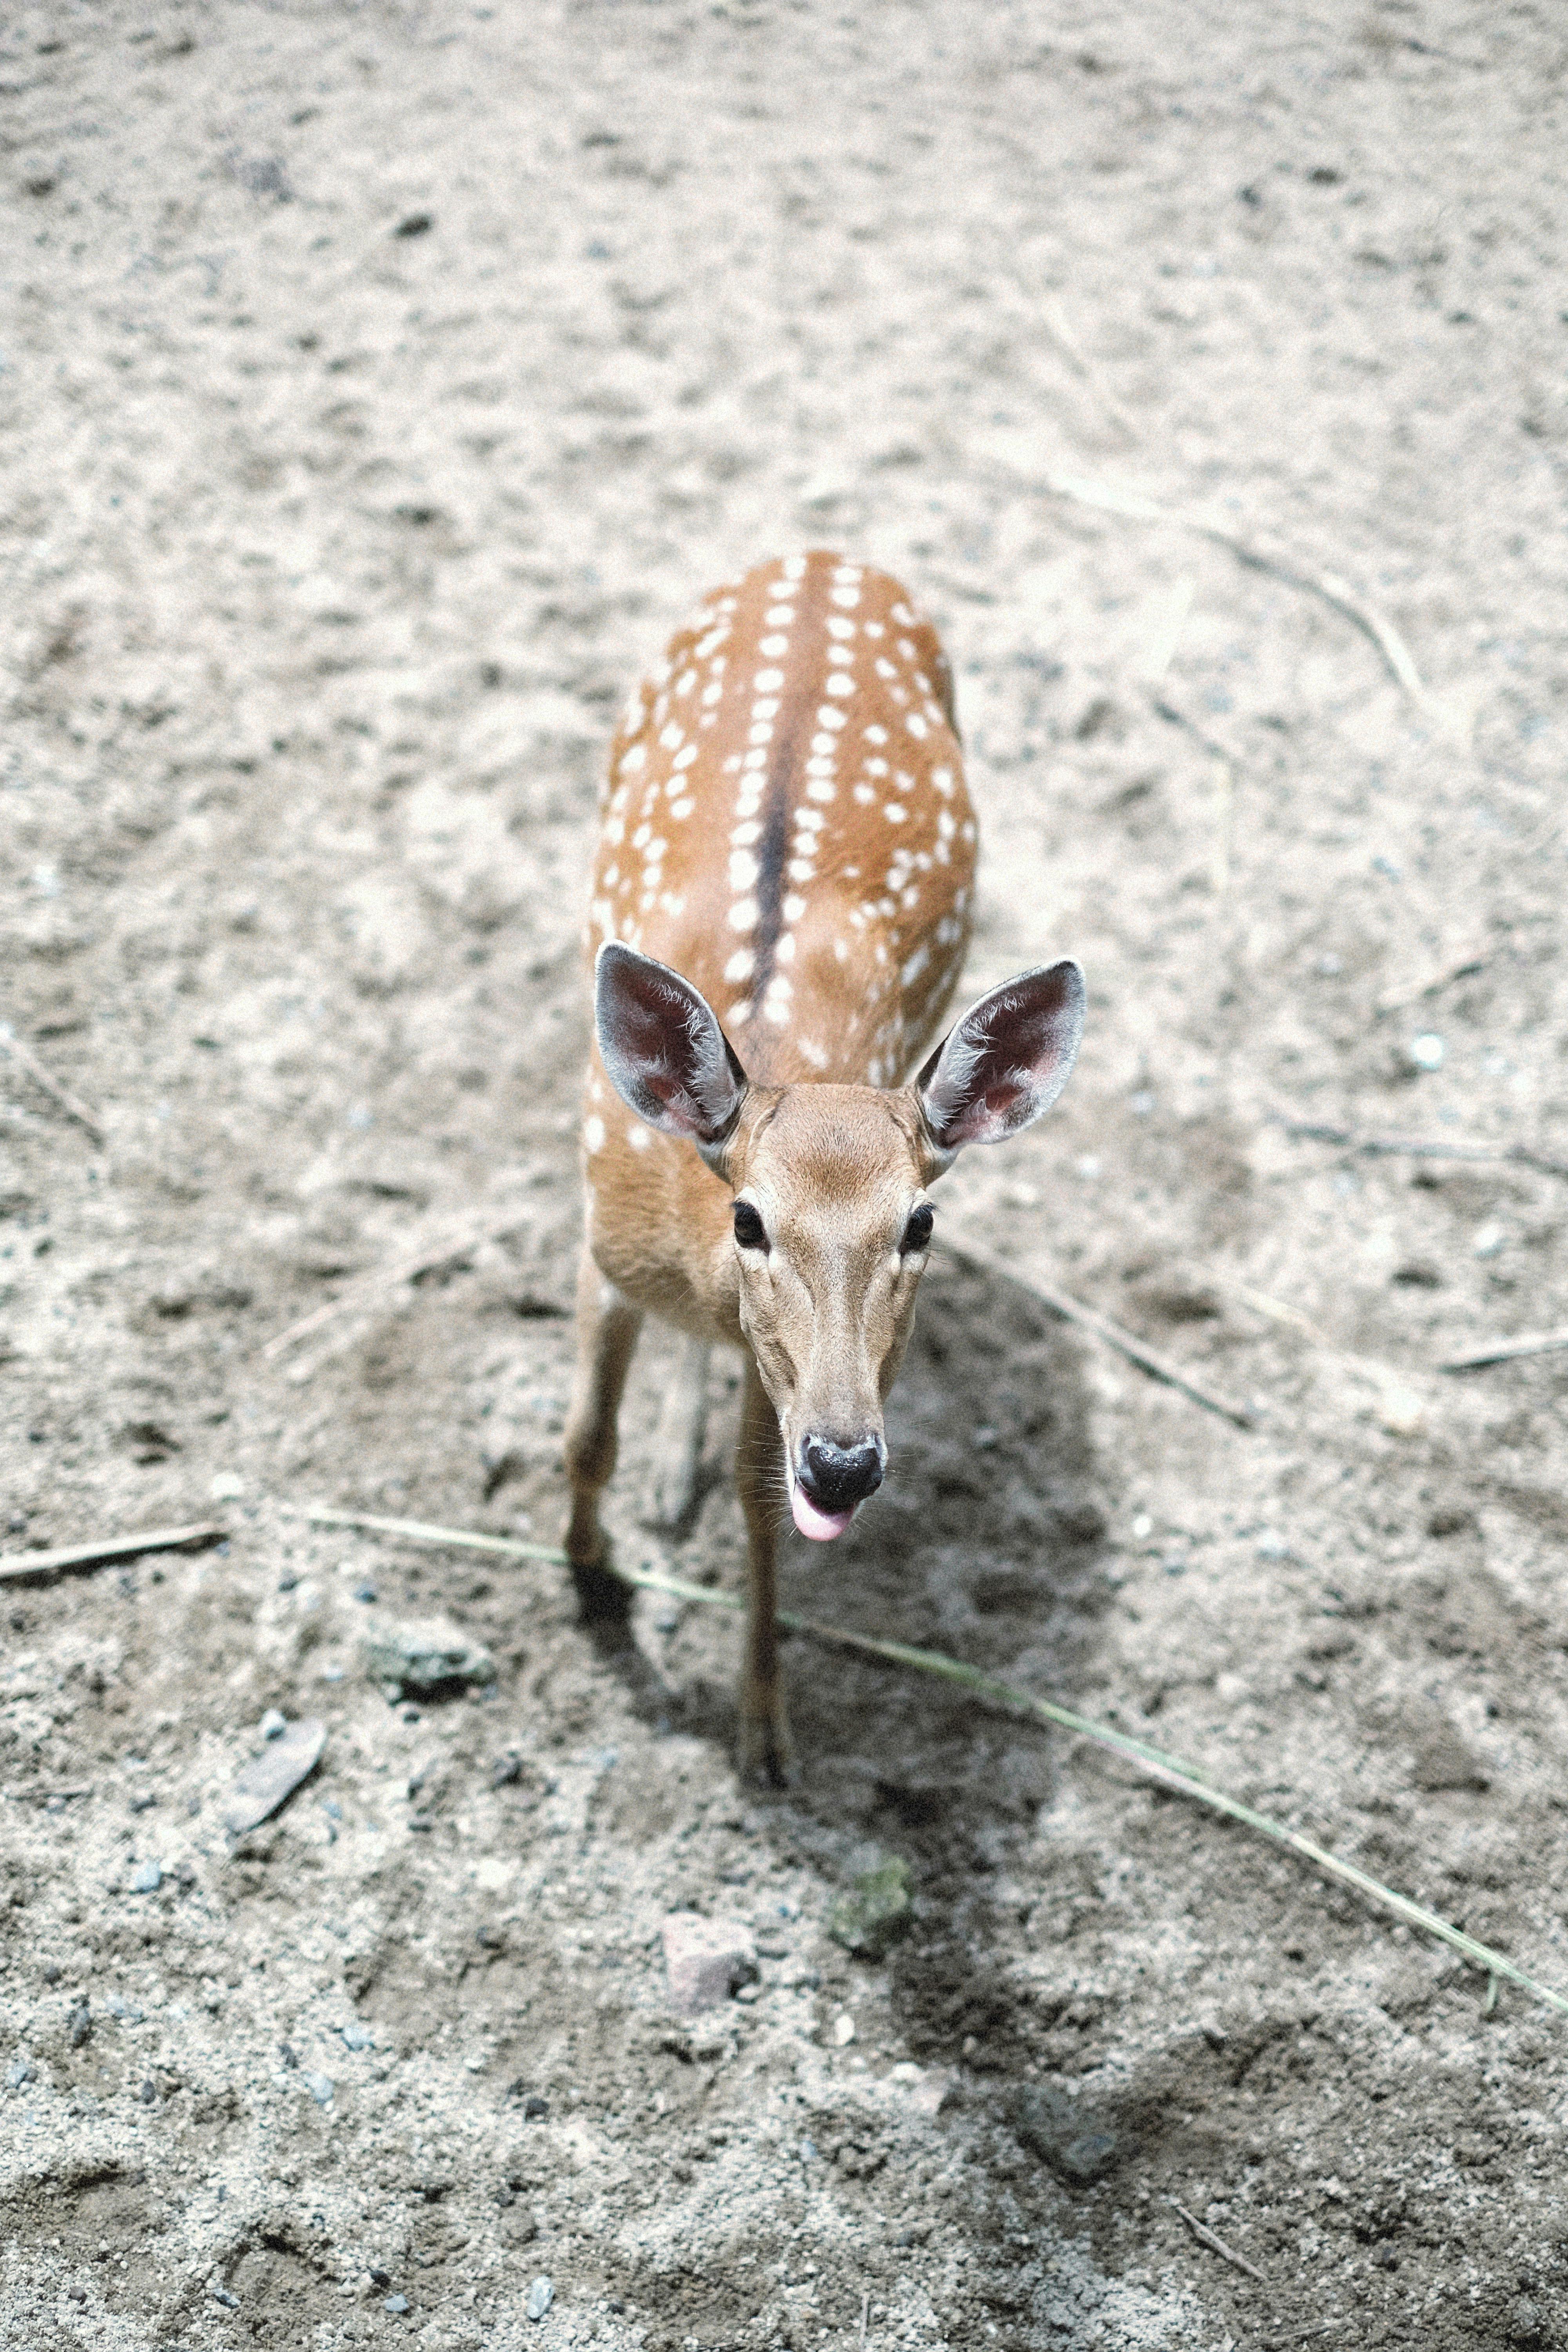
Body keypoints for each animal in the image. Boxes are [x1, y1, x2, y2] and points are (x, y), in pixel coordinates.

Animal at [563, 550, 1084, 1784]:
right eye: (749, 1219)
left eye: (920, 1224)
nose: (846, 1465)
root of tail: (821, 557)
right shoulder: (599, 1241)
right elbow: (585, 1436)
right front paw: (591, 1578)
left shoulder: (786, 1377)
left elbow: (758, 1503)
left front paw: (765, 1731)